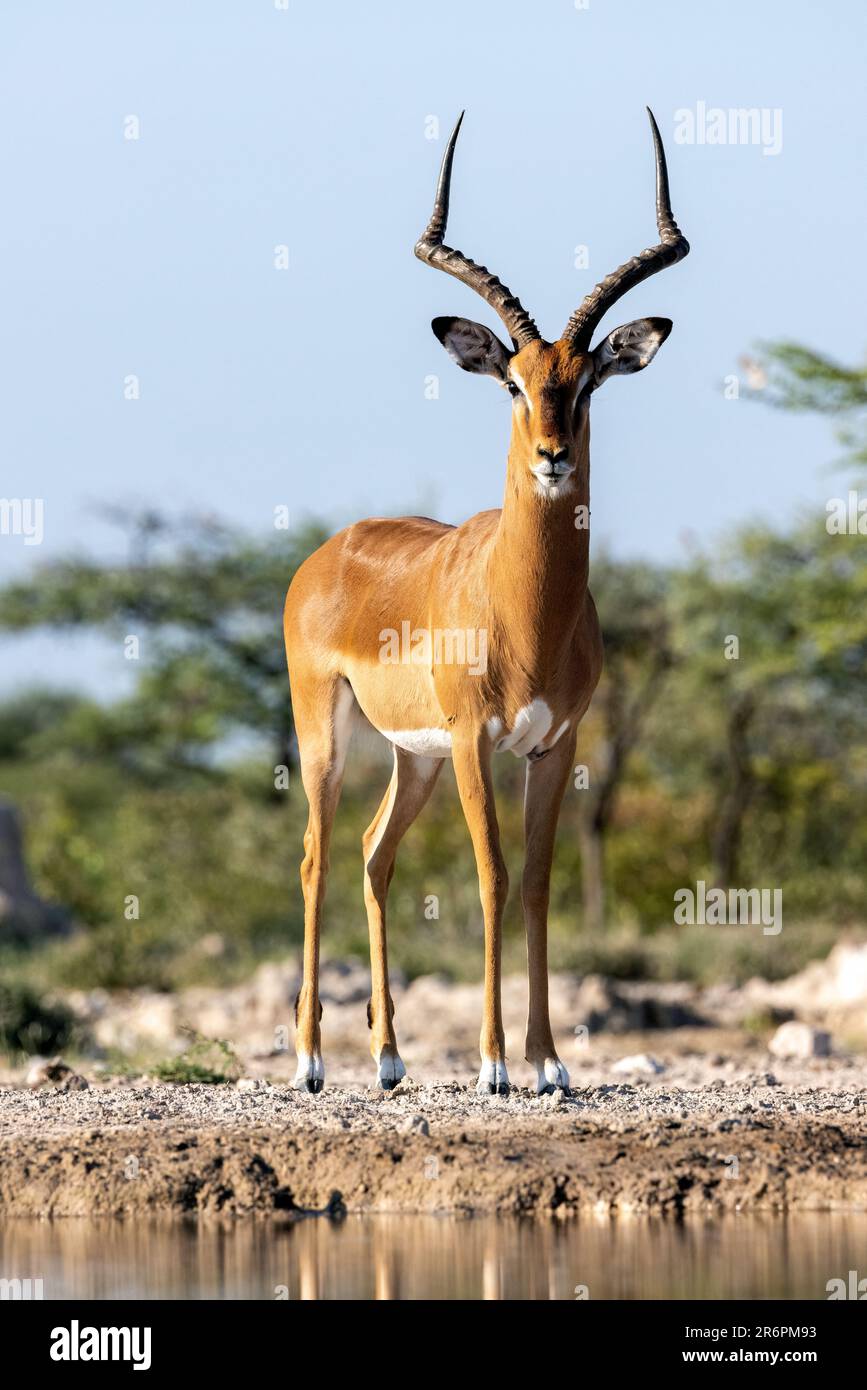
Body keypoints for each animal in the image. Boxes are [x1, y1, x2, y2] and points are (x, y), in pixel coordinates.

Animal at [284, 109, 689, 1096]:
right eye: (512, 381)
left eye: (585, 383)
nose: (551, 456)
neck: (526, 614)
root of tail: (327, 551)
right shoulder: (474, 739)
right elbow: (493, 876)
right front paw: (496, 1065)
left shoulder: (554, 743)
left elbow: (538, 881)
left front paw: (549, 1065)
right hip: (327, 738)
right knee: (316, 856)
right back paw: (310, 1059)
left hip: (411, 758)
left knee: (374, 853)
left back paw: (388, 1059)